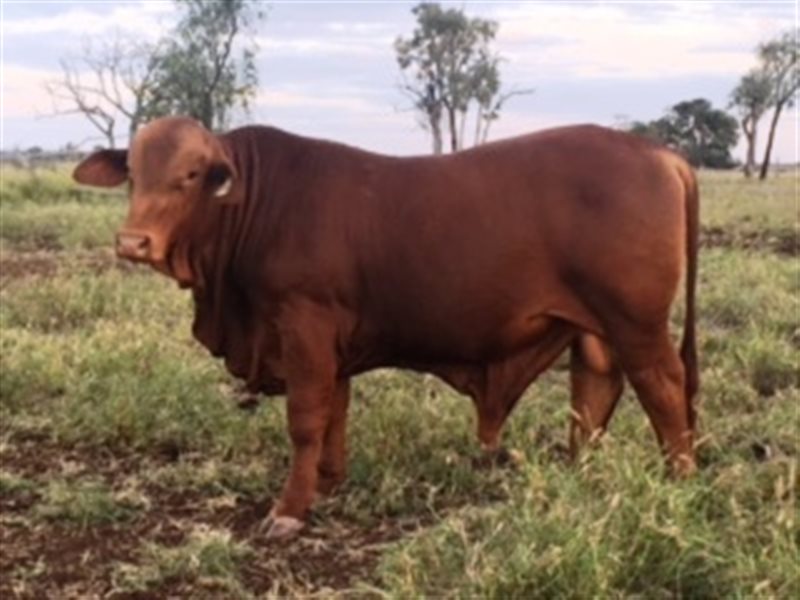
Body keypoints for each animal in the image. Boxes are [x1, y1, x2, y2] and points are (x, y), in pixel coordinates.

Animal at [73, 116, 699, 539]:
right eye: (134, 174)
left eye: (191, 174)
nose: (133, 242)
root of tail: (658, 151)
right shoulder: (331, 344)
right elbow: (334, 412)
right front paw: (327, 483)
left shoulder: (304, 325)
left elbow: (306, 419)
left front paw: (289, 510)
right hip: (594, 328)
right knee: (595, 390)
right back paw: (579, 478)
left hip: (637, 324)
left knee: (665, 391)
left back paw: (679, 481)